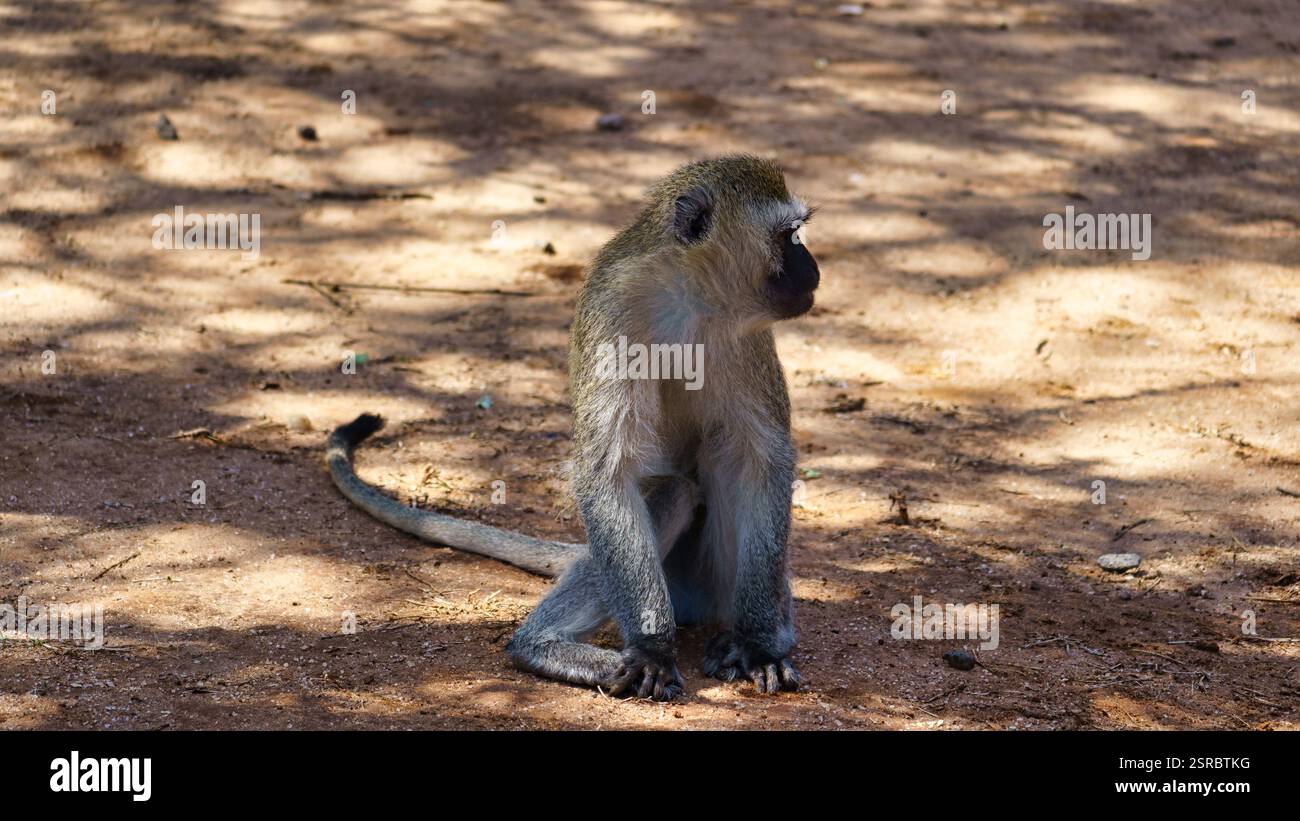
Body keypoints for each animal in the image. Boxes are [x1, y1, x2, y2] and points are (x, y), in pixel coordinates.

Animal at [327, 154, 820, 701]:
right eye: (789, 237)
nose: (813, 268)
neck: (691, 297)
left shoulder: (749, 339)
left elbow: (763, 460)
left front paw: (757, 644)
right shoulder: (614, 311)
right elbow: (607, 470)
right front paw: (652, 650)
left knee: (723, 453)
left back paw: (763, 631)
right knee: (670, 491)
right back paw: (543, 646)